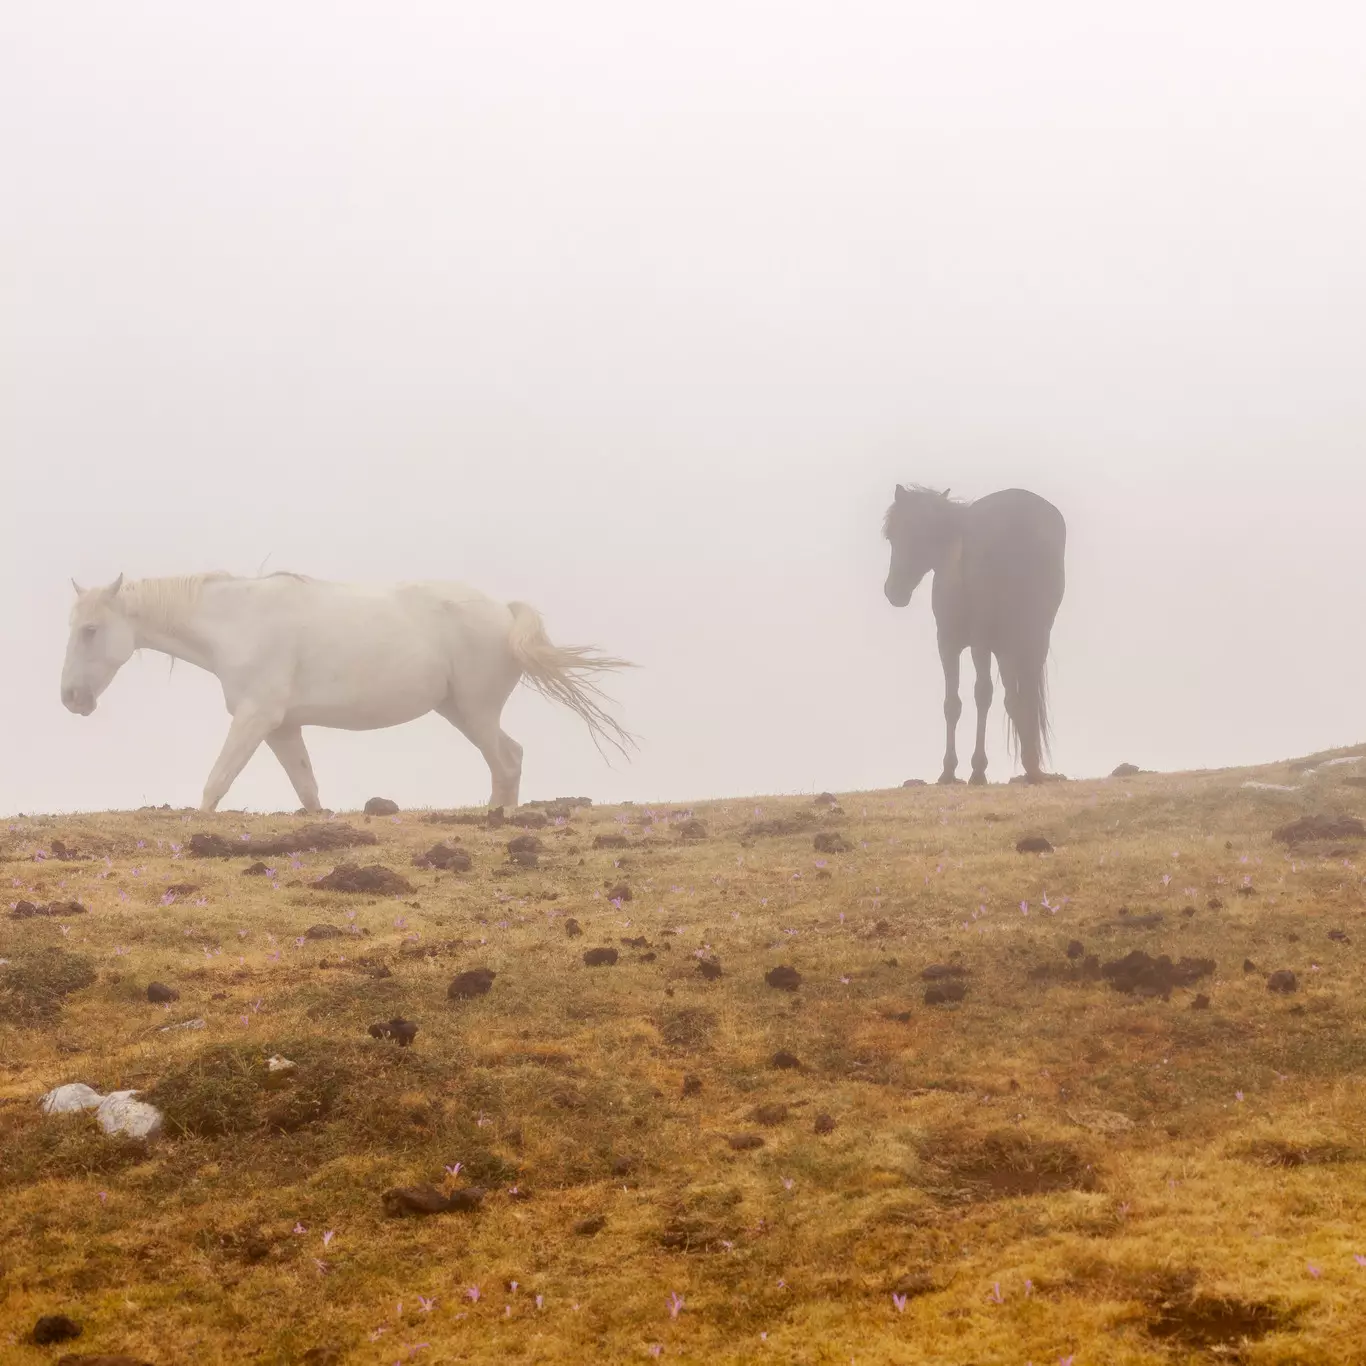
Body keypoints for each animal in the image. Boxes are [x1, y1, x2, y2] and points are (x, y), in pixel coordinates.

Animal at [61, 573, 636, 808]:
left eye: (89, 630)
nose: (71, 699)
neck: (239, 622)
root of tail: (504, 611)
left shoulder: (254, 719)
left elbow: (214, 786)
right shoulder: (282, 727)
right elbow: (308, 792)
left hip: (475, 711)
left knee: (508, 762)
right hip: (459, 710)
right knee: (508, 758)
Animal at [885, 486, 1065, 786]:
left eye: (893, 534)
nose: (892, 591)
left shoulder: (949, 643)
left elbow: (953, 703)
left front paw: (951, 769)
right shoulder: (1003, 648)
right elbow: (1008, 700)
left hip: (985, 642)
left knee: (985, 694)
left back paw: (981, 769)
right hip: (1032, 638)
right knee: (1021, 697)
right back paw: (1032, 765)